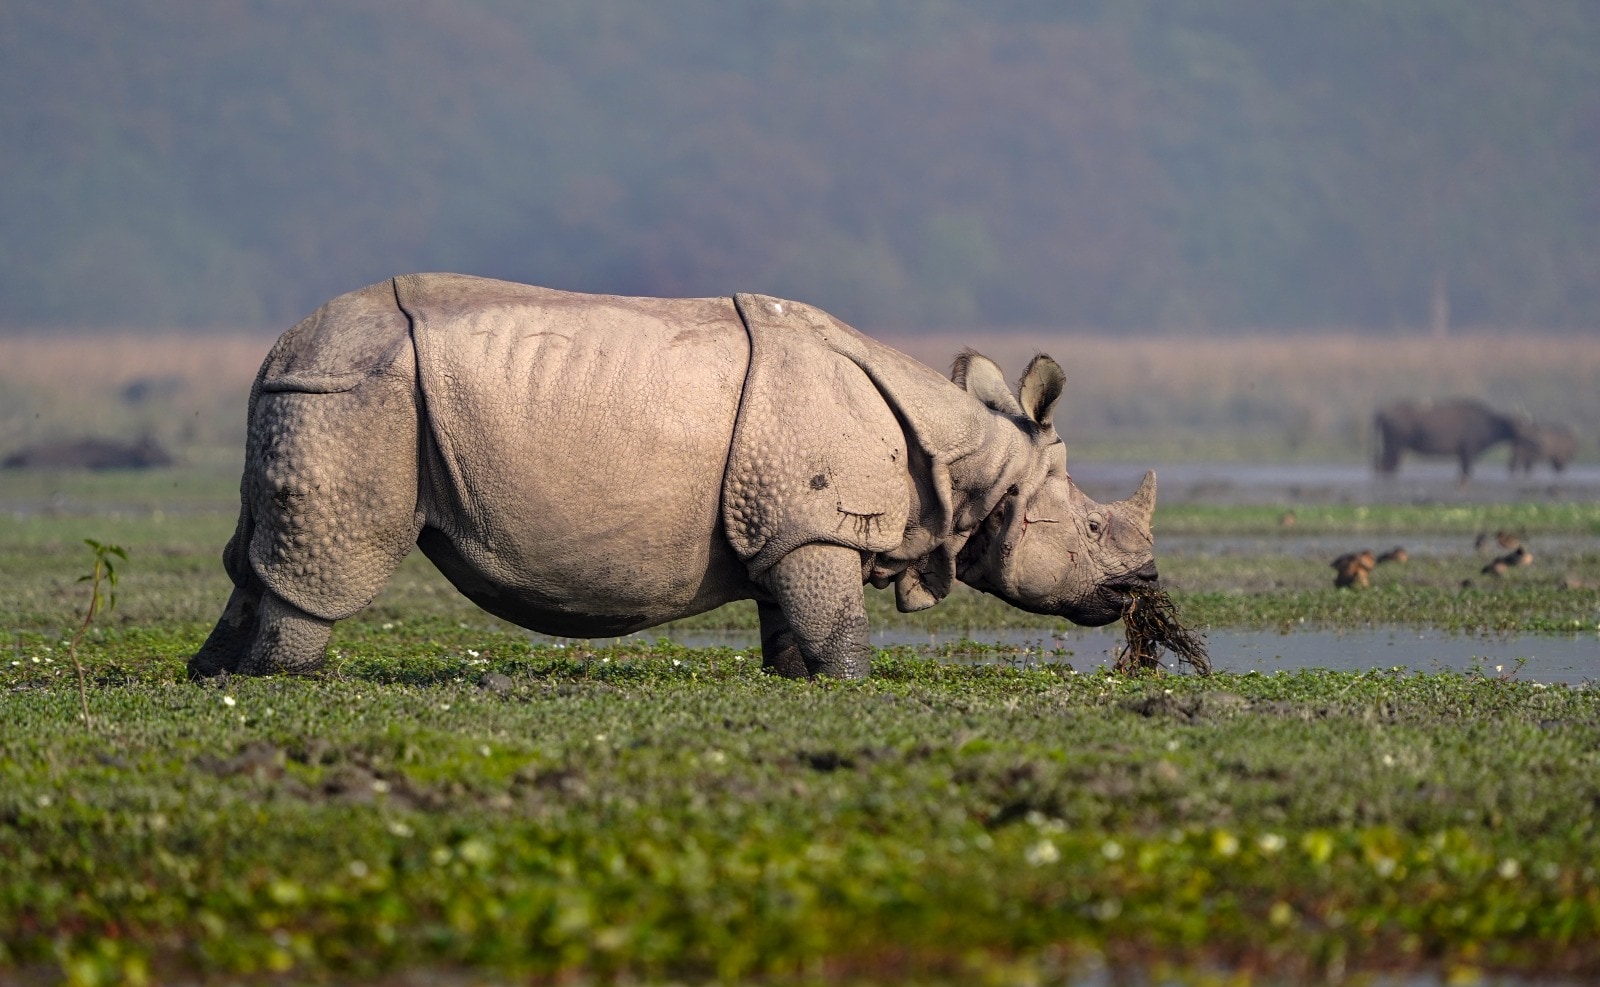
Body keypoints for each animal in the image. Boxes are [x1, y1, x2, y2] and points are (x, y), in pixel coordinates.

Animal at [190, 274, 1160, 681]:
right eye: (1093, 528)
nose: (1145, 583)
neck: (972, 459)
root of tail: (281, 351)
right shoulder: (817, 523)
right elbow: (839, 628)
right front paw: (852, 685)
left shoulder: (788, 524)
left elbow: (792, 622)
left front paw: (798, 682)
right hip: (364, 399)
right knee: (330, 563)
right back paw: (289, 683)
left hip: (318, 396)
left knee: (258, 557)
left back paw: (214, 676)